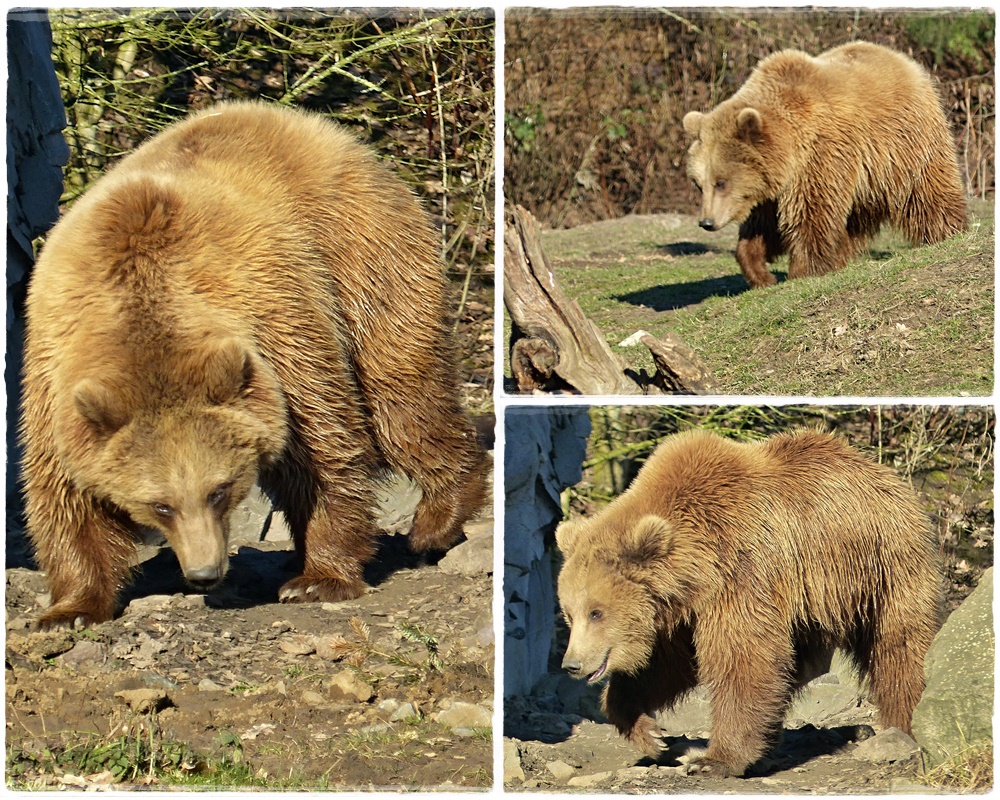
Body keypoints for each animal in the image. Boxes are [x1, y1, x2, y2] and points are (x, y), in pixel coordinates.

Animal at [20, 102, 489, 631]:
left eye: (219, 490)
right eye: (160, 504)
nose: (204, 573)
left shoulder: (275, 319)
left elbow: (322, 444)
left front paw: (318, 578)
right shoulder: (53, 367)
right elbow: (64, 492)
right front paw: (70, 609)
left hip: (365, 254)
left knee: (402, 396)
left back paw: (438, 519)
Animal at [556, 428, 941, 777]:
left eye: (597, 612)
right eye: (569, 614)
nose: (571, 664)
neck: (695, 565)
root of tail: (880, 470)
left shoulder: (742, 570)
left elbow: (744, 656)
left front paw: (713, 760)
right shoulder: (688, 609)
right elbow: (670, 665)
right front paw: (649, 733)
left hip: (882, 563)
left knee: (898, 644)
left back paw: (904, 724)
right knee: (798, 662)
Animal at [683, 41, 968, 289]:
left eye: (721, 182)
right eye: (698, 184)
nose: (706, 222)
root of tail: (901, 59)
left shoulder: (820, 155)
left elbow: (812, 213)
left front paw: (803, 271)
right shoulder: (772, 186)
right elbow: (763, 227)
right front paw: (760, 273)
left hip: (906, 143)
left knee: (927, 191)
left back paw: (947, 231)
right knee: (854, 221)